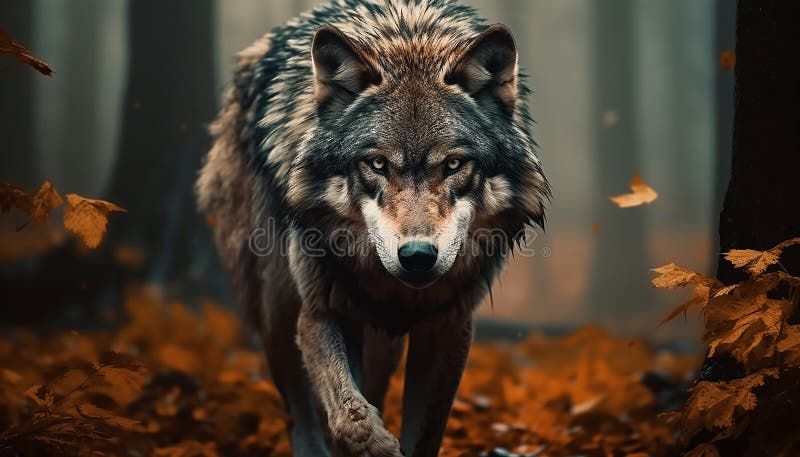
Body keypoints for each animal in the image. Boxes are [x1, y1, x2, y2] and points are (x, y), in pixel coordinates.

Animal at [196, 0, 549, 455]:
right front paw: (375, 444)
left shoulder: (448, 326)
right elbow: (349, 416)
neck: (410, 40)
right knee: (299, 410)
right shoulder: (320, 313)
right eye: (377, 163)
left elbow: (423, 432)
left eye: (454, 164)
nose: (417, 256)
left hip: (384, 341)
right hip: (275, 311)